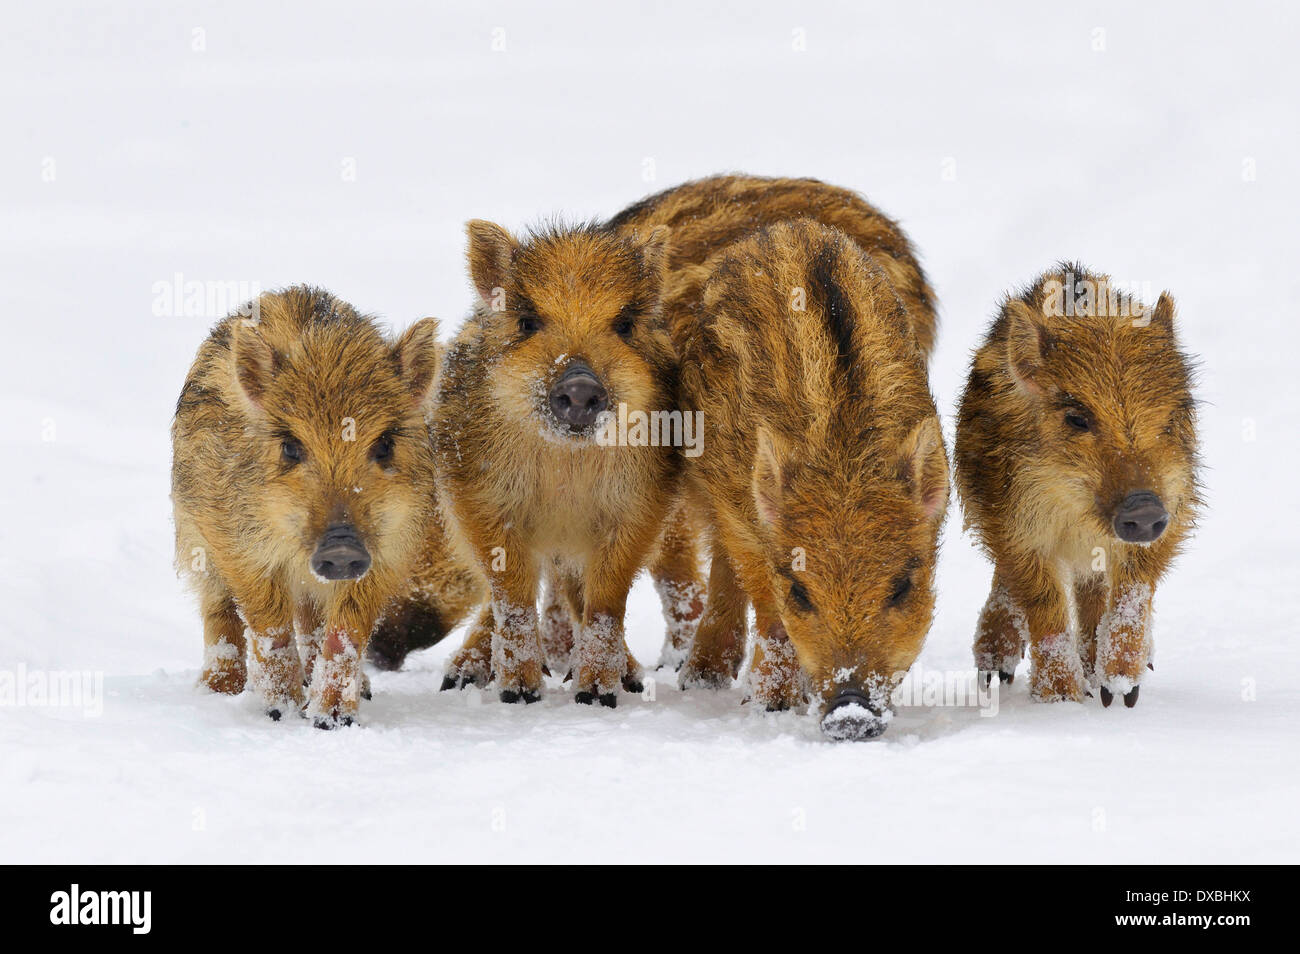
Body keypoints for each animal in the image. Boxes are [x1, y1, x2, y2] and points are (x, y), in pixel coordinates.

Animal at [171, 286, 441, 727]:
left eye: (385, 444)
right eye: (290, 446)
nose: (342, 547)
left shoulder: (389, 552)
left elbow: (346, 632)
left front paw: (332, 721)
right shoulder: (239, 548)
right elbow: (270, 627)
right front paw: (280, 712)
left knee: (312, 622)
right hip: (193, 536)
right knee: (219, 611)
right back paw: (217, 689)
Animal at [677, 220, 949, 739]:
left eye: (902, 587)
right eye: (800, 593)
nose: (850, 712)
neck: (843, 457)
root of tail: (789, 227)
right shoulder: (743, 515)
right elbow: (769, 611)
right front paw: (771, 705)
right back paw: (700, 677)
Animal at [955, 264, 1201, 706]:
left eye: (1170, 419)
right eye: (1077, 419)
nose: (1143, 507)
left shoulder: (1173, 509)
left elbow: (1131, 592)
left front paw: (1120, 691)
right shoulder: (1015, 524)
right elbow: (1044, 602)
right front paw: (1061, 702)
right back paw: (995, 674)